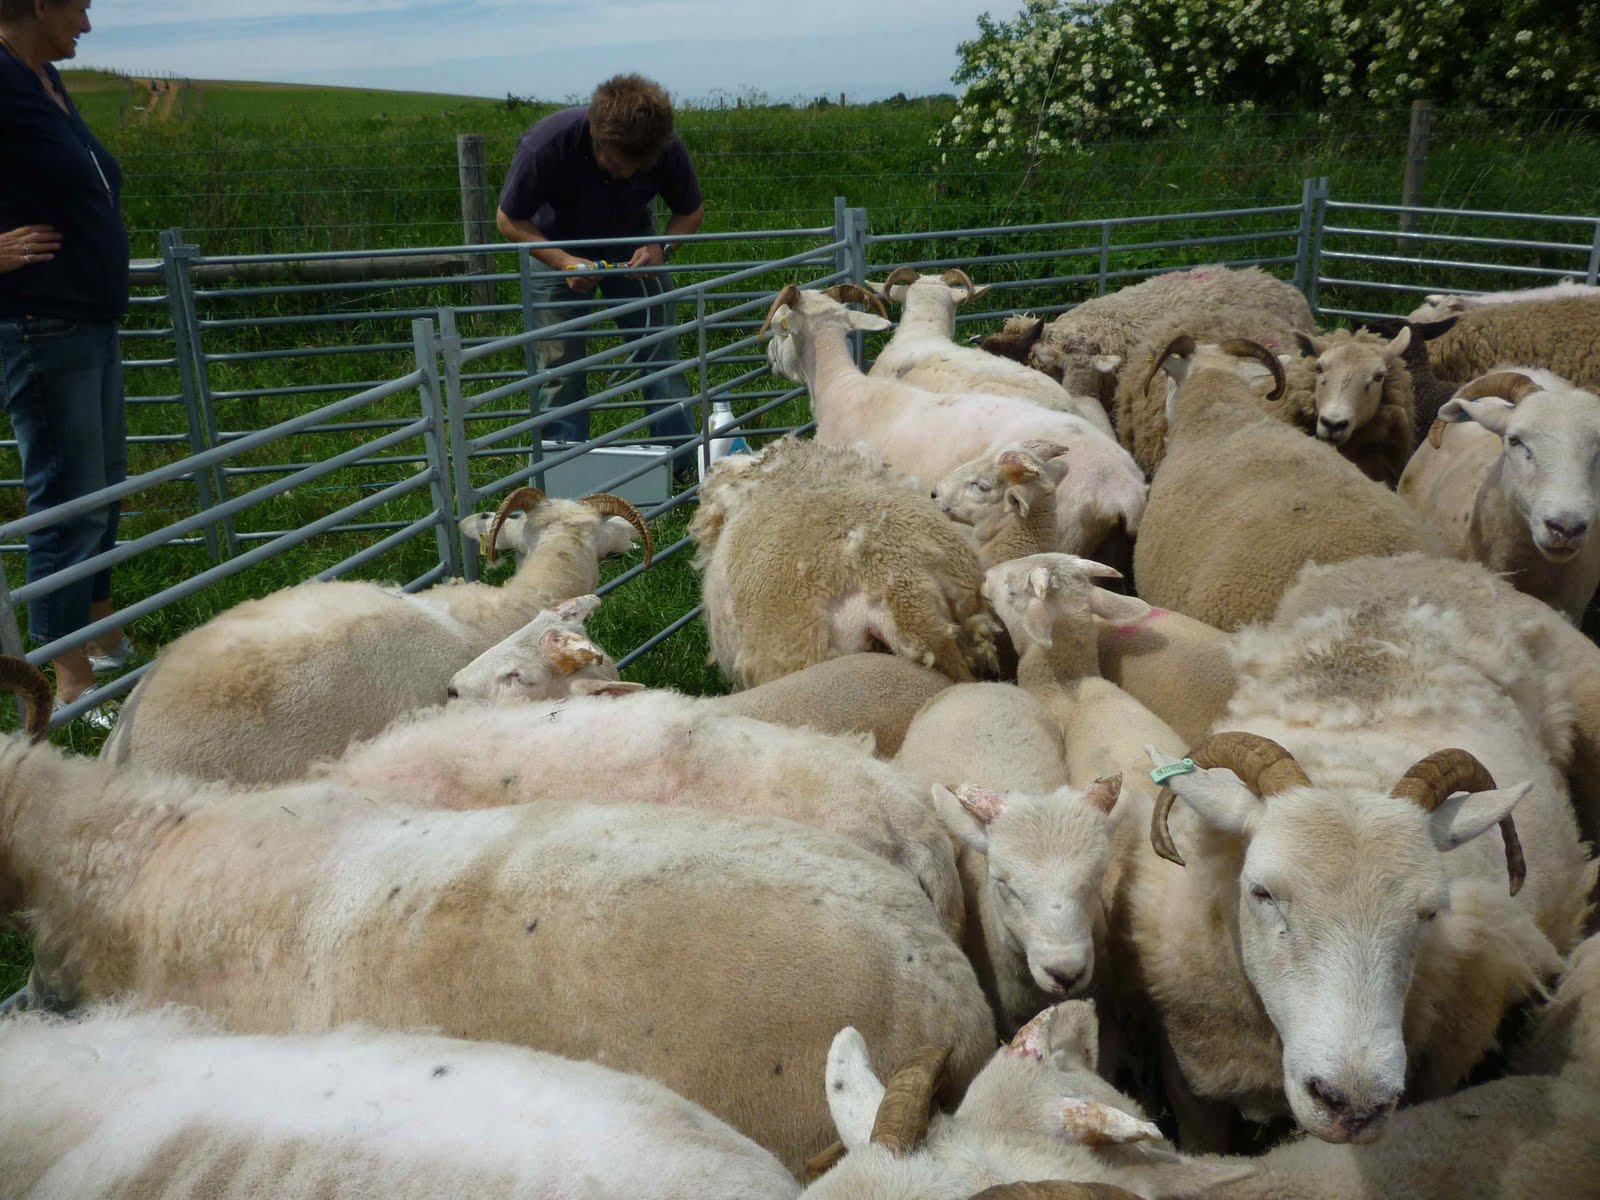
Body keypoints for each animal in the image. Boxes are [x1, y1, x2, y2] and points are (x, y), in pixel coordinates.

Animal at [1118, 551, 1595, 1148]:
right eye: (1261, 892)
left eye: (1429, 912)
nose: (1353, 1103)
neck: (1344, 768)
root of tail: (1419, 560)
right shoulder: (1193, 1078)